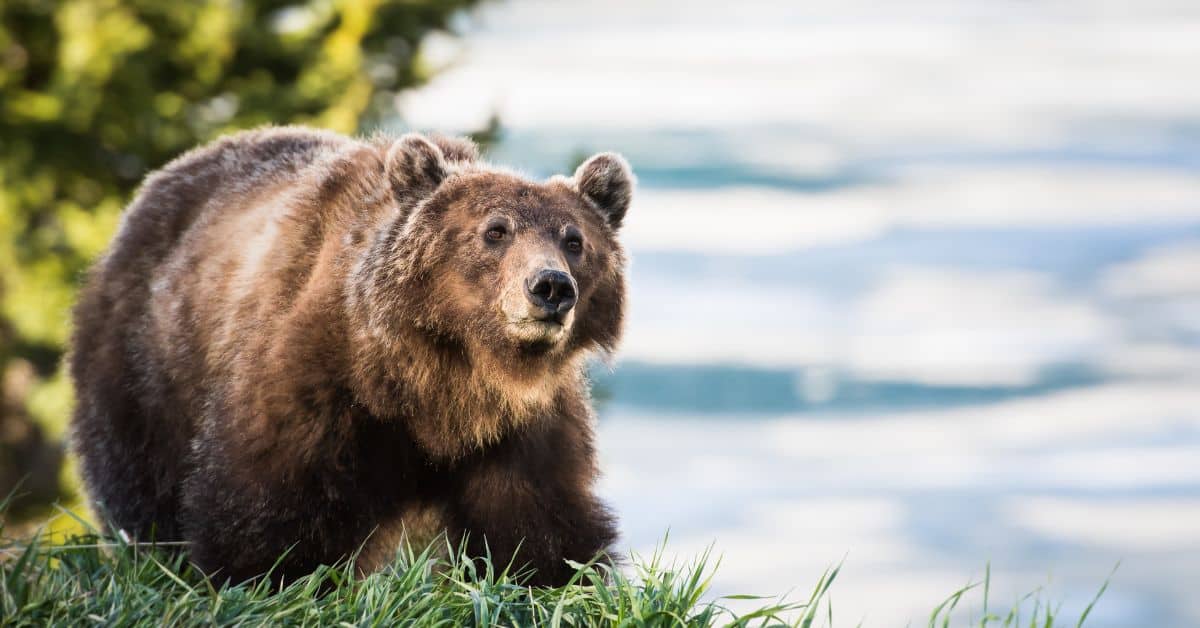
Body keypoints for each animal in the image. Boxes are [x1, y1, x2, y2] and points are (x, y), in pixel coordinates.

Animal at [68, 126, 633, 586]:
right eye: (495, 230)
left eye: (575, 240)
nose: (551, 286)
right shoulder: (320, 382)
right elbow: (268, 498)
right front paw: (265, 574)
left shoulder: (521, 427)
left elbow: (539, 523)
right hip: (147, 360)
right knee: (140, 474)